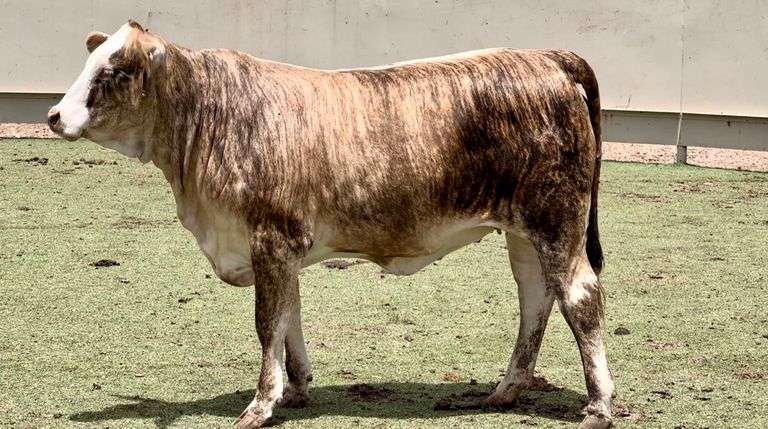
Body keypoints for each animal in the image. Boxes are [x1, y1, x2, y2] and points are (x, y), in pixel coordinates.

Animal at [48, 20, 614, 429]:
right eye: (90, 62)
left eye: (116, 70)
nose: (53, 115)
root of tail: (546, 57)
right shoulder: (280, 248)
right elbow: (288, 317)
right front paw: (295, 390)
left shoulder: (271, 239)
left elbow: (267, 322)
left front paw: (258, 406)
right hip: (524, 233)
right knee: (536, 298)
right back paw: (503, 392)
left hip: (556, 220)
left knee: (580, 299)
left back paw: (598, 408)